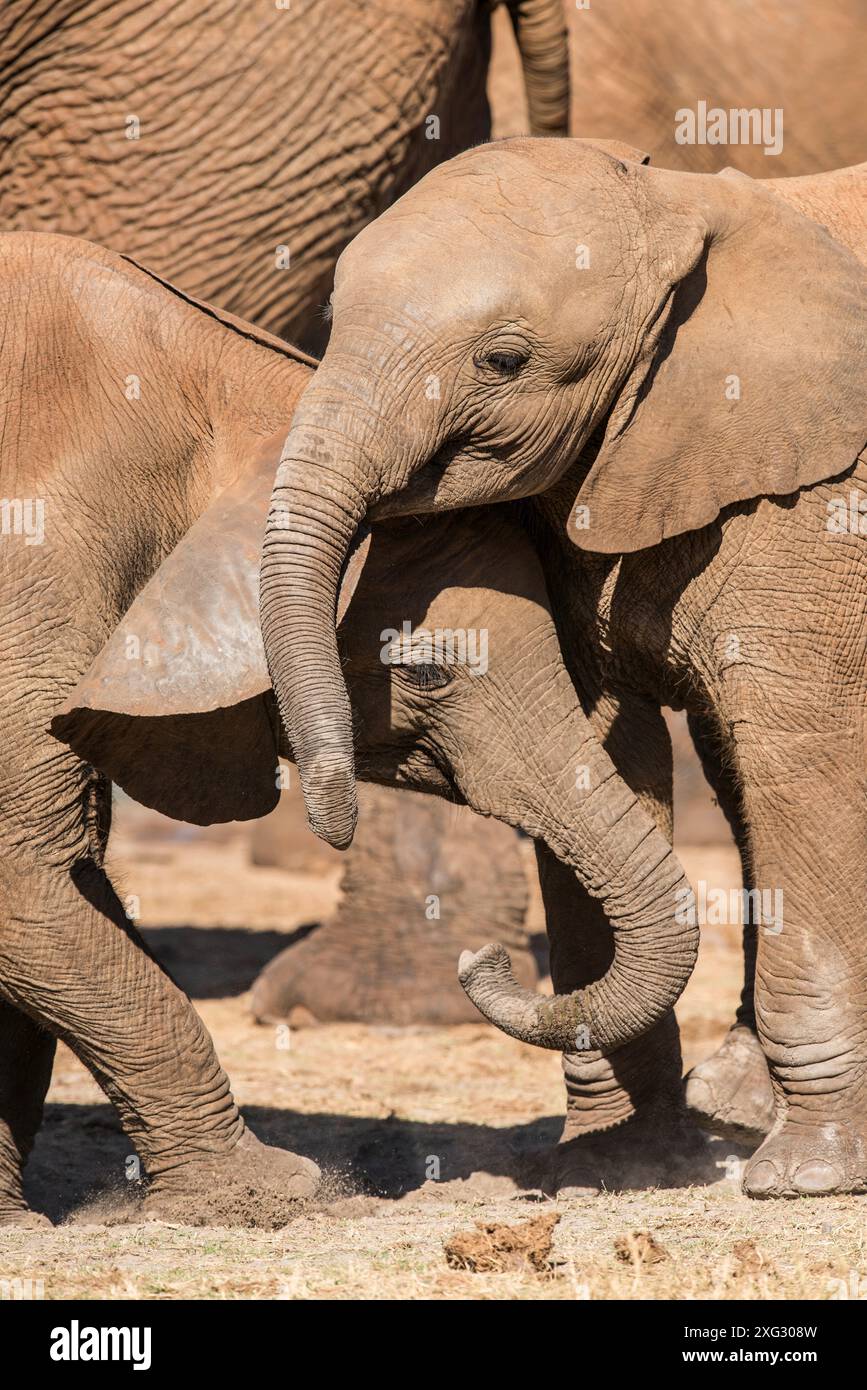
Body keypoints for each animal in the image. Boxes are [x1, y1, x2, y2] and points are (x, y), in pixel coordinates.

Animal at [0, 228, 700, 1226]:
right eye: (428, 671)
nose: (482, 960)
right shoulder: (39, 576)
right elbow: (31, 878)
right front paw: (271, 1195)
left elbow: (67, 877)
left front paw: (16, 1219)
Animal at [261, 142, 867, 1198]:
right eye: (331, 327)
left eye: (500, 362)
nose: (327, 818)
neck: (669, 201)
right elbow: (599, 753)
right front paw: (612, 1159)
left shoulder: (810, 502)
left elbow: (796, 758)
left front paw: (807, 1176)